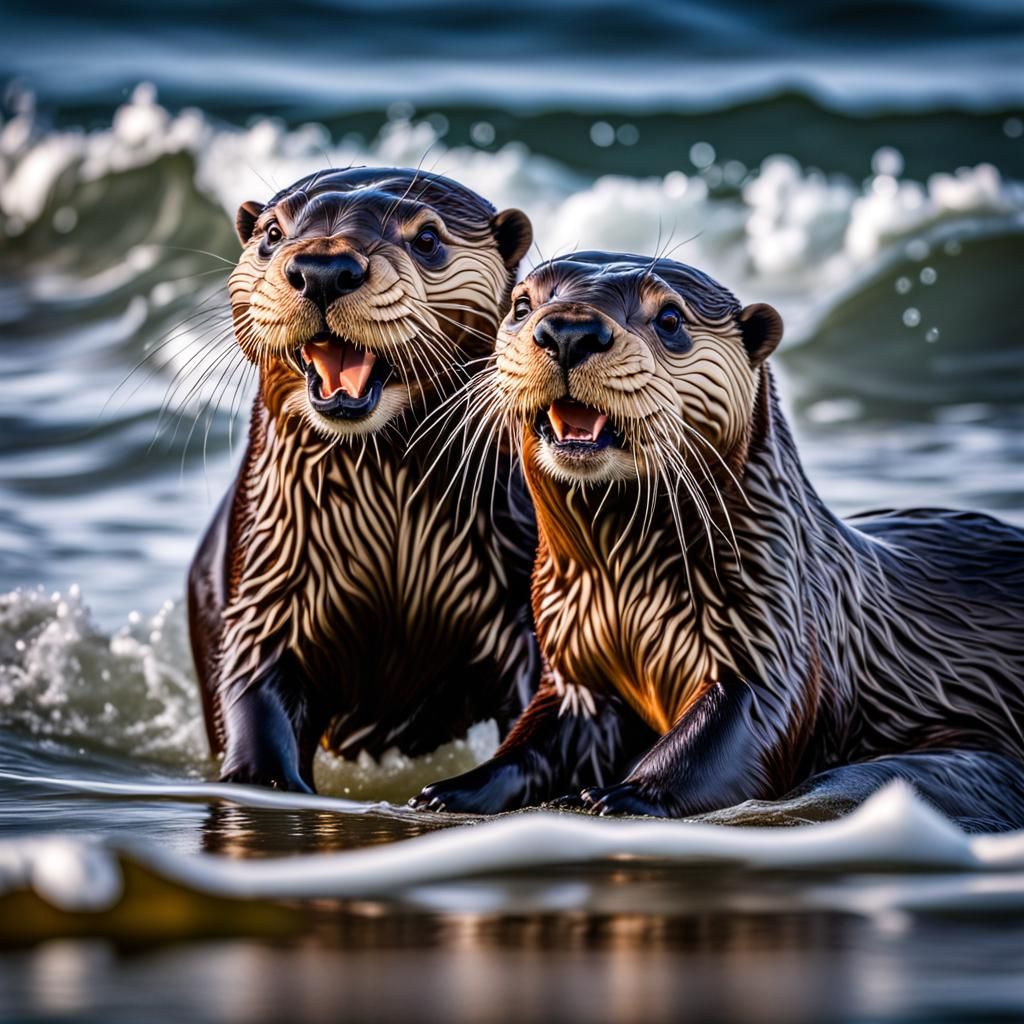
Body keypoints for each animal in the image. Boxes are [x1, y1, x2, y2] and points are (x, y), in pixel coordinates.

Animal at [413, 251, 1024, 824]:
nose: (567, 329)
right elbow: (537, 739)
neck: (627, 597)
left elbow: (728, 734)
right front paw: (454, 789)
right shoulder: (575, 659)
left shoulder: (773, 632)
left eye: (670, 318)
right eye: (522, 305)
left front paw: (627, 793)